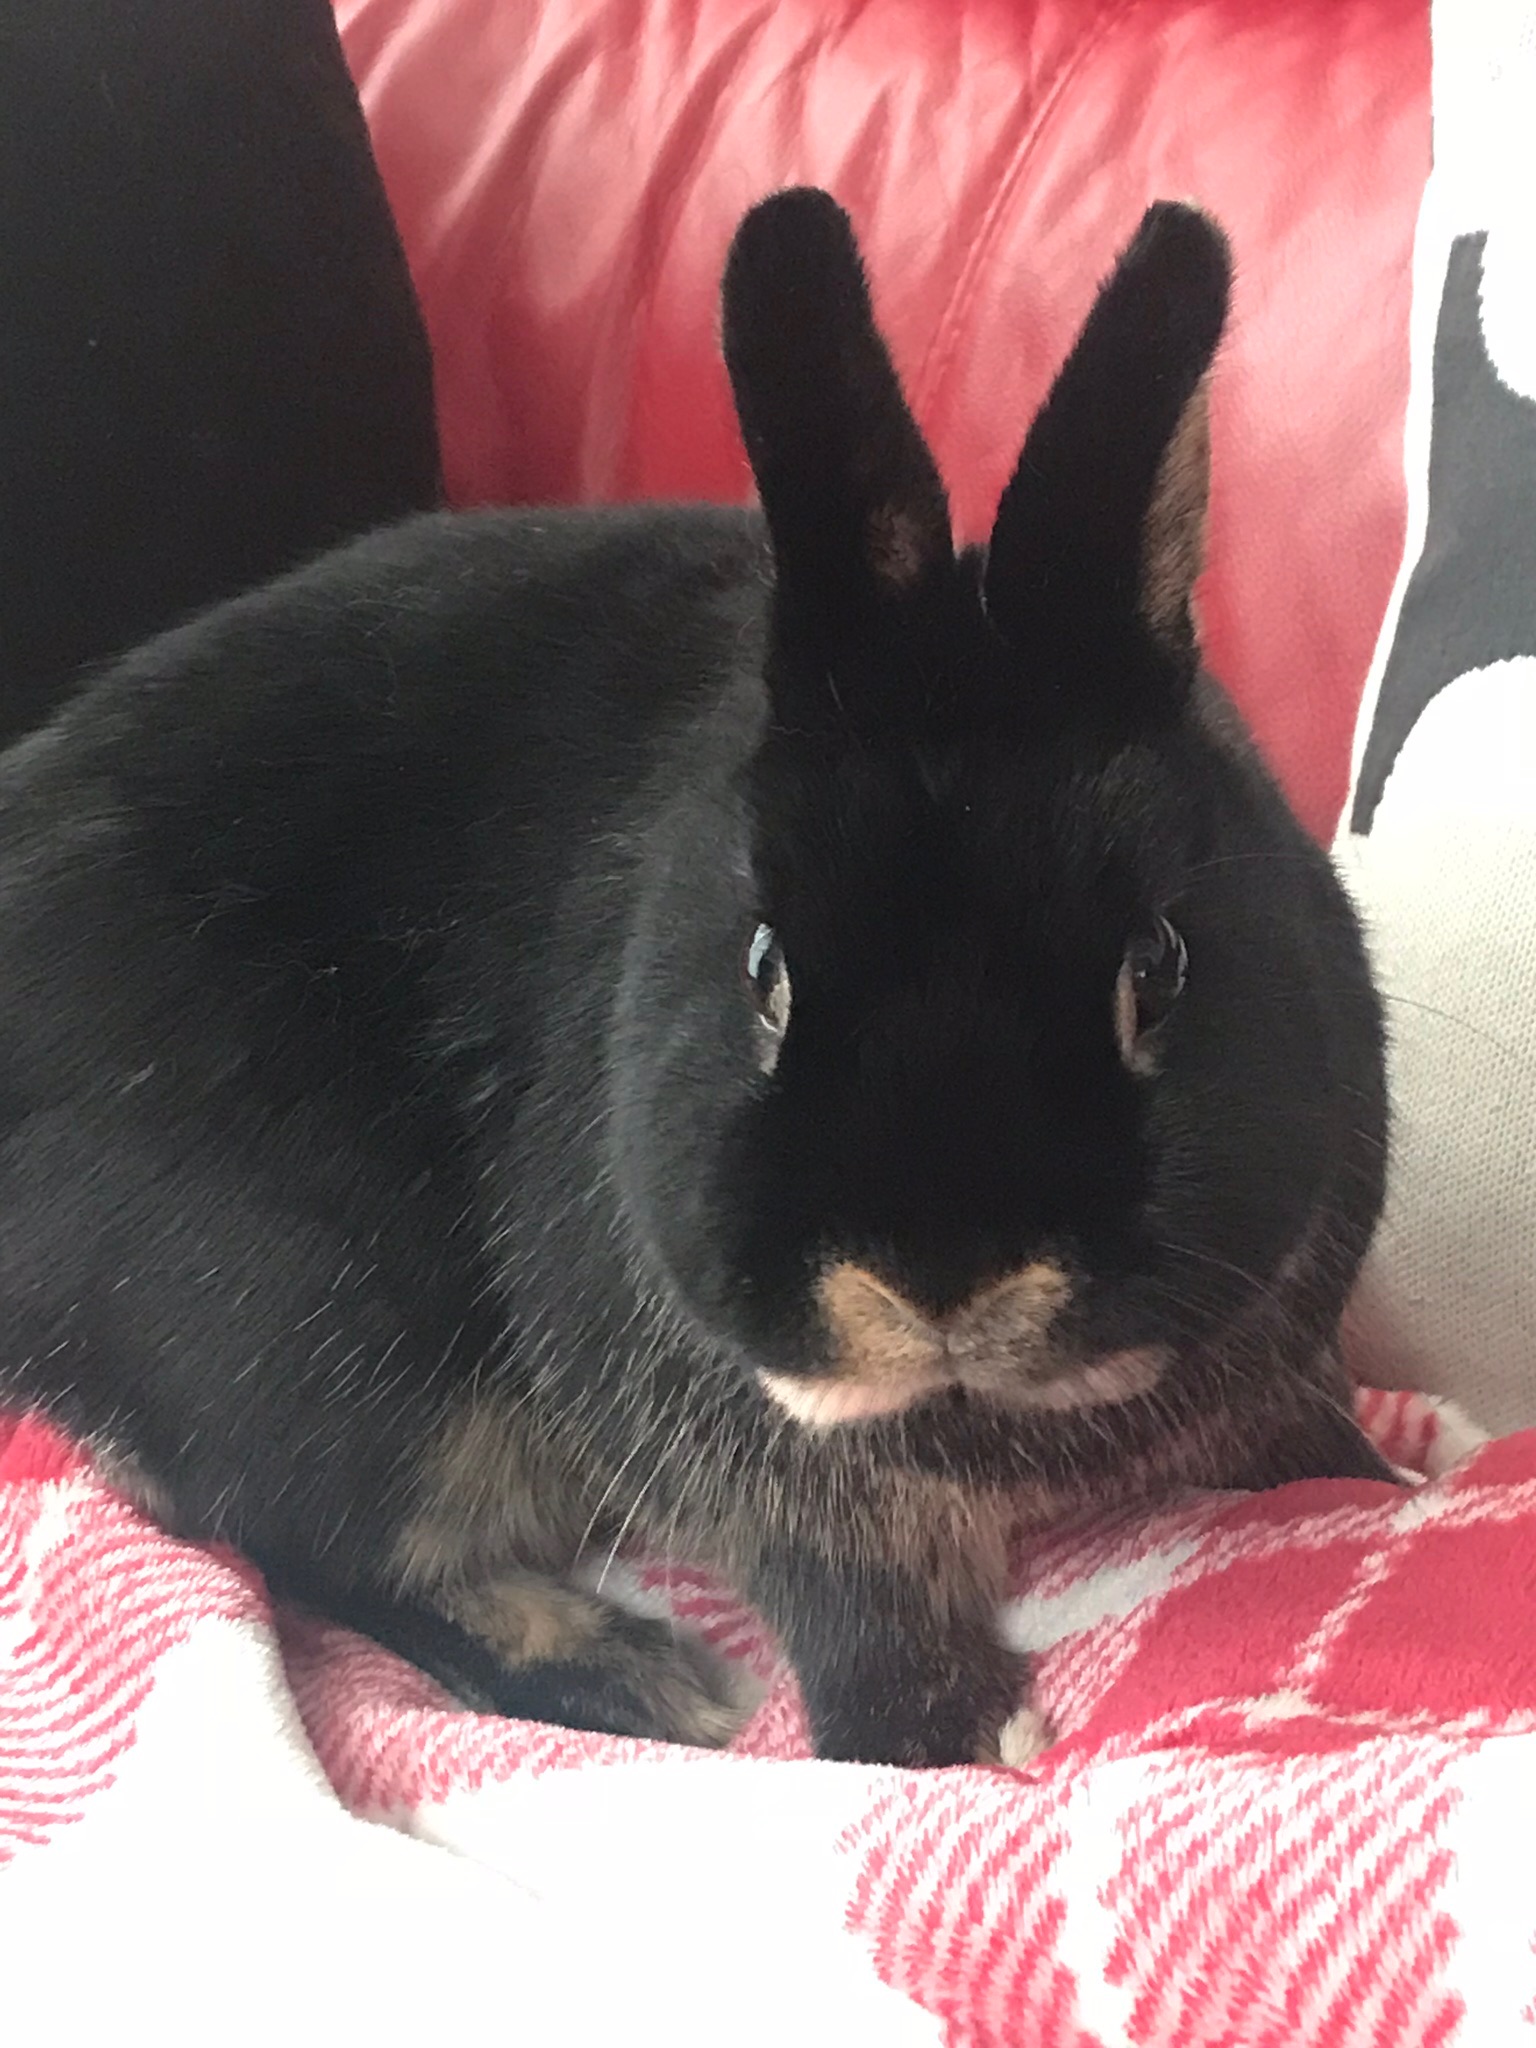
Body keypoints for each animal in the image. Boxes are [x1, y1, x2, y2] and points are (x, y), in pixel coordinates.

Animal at [0, 190, 1399, 1768]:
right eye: (765, 970)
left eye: (1156, 965)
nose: (941, 1280)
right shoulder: (770, 1481)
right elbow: (845, 1584)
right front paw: (946, 1733)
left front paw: (1375, 1480)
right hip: (306, 1331)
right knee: (322, 1546)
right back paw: (642, 1677)